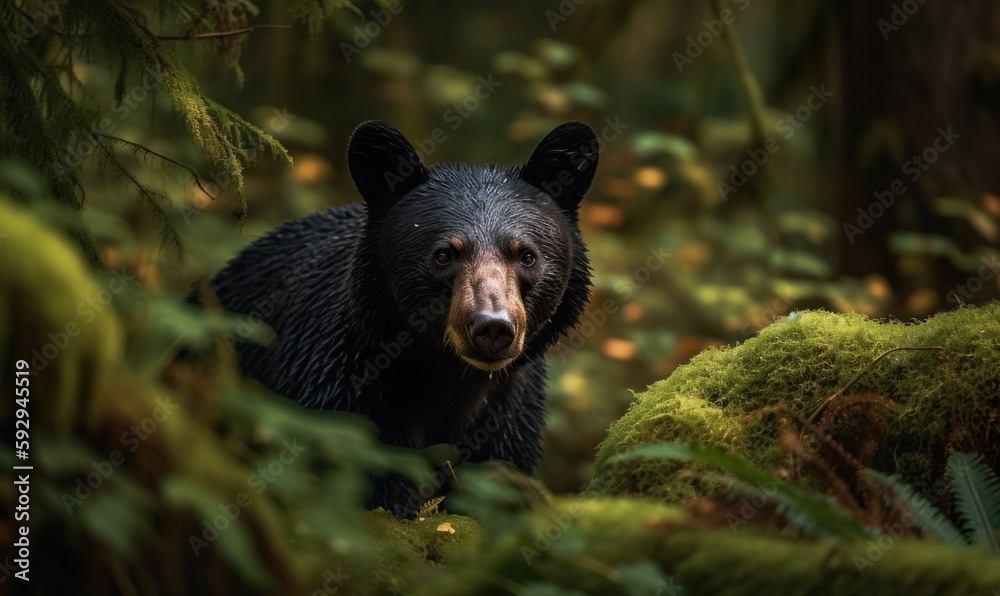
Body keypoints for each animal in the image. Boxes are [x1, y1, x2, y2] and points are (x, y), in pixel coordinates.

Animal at [209, 120, 599, 516]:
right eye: (443, 254)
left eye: (526, 255)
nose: (492, 326)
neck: (446, 378)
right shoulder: (338, 401)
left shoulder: (510, 418)